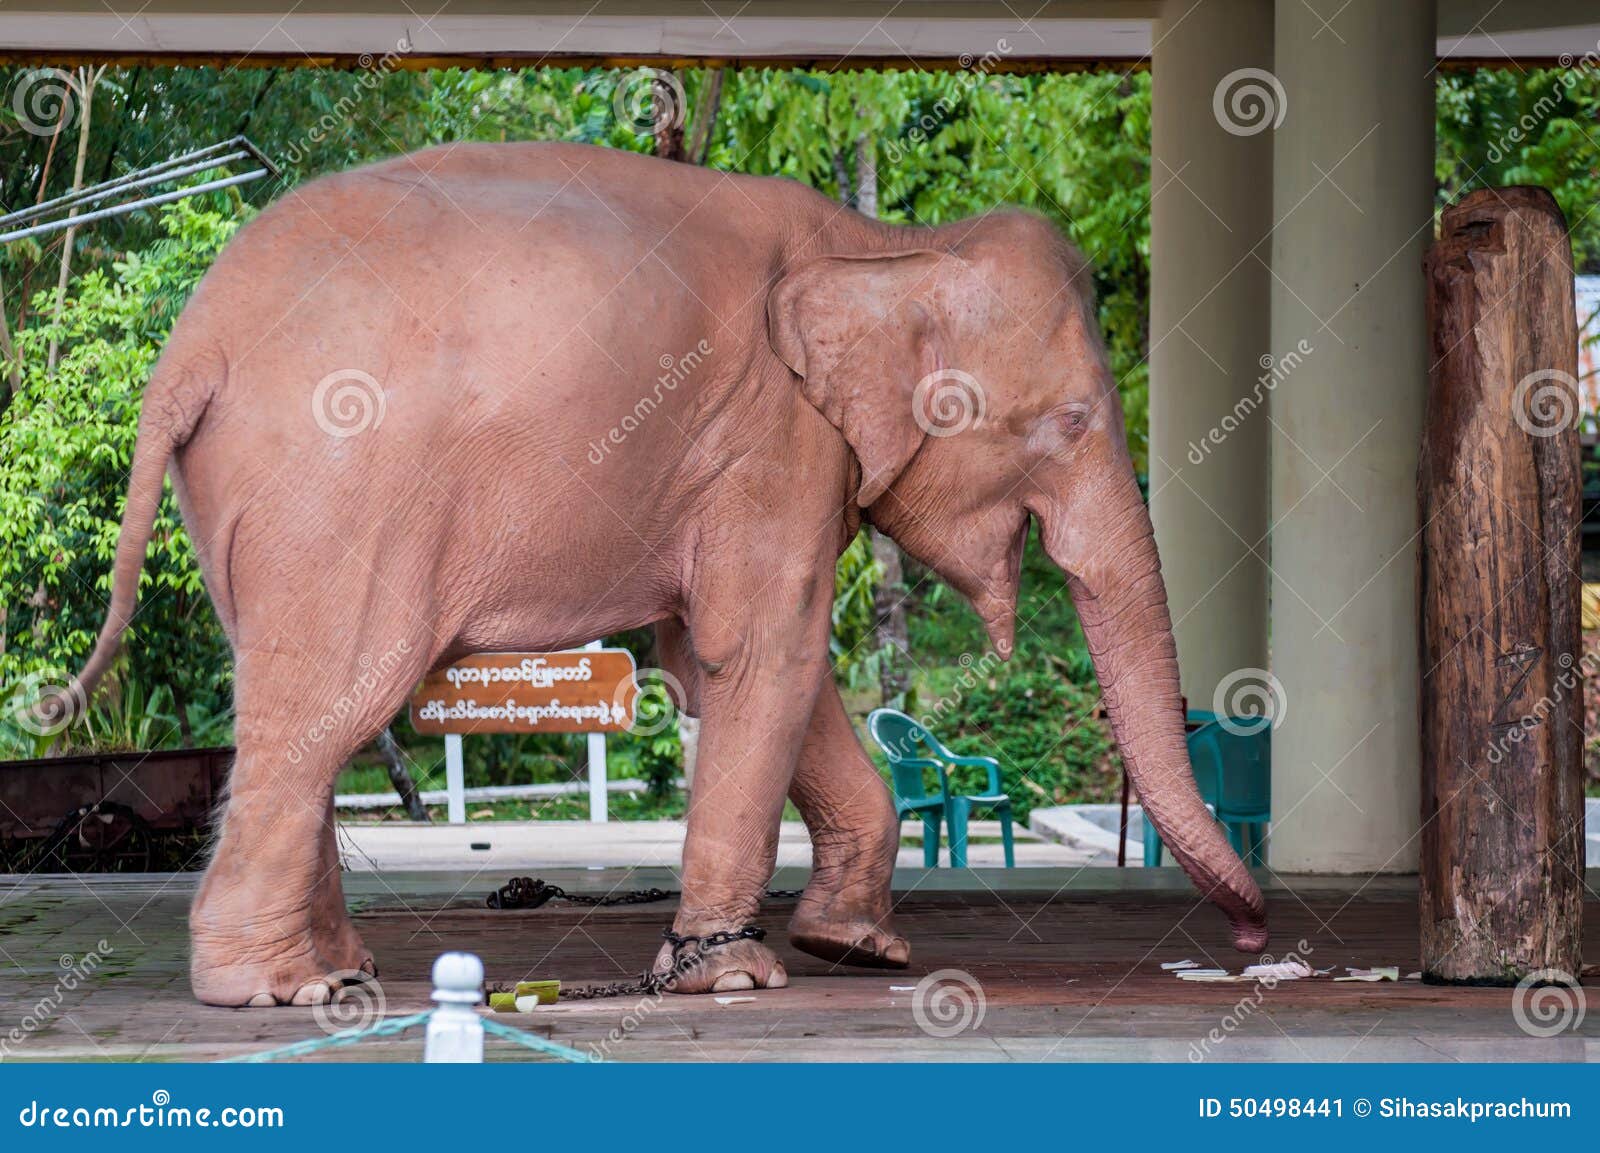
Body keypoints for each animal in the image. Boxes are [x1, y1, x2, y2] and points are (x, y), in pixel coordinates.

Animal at [51, 140, 1267, 1006]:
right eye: (1072, 423)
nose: (1254, 933)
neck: (883, 243)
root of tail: (189, 345)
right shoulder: (776, 440)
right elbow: (762, 648)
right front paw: (732, 974)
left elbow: (730, 659)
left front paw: (856, 948)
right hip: (338, 498)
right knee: (325, 708)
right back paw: (271, 990)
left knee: (289, 699)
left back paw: (338, 970)